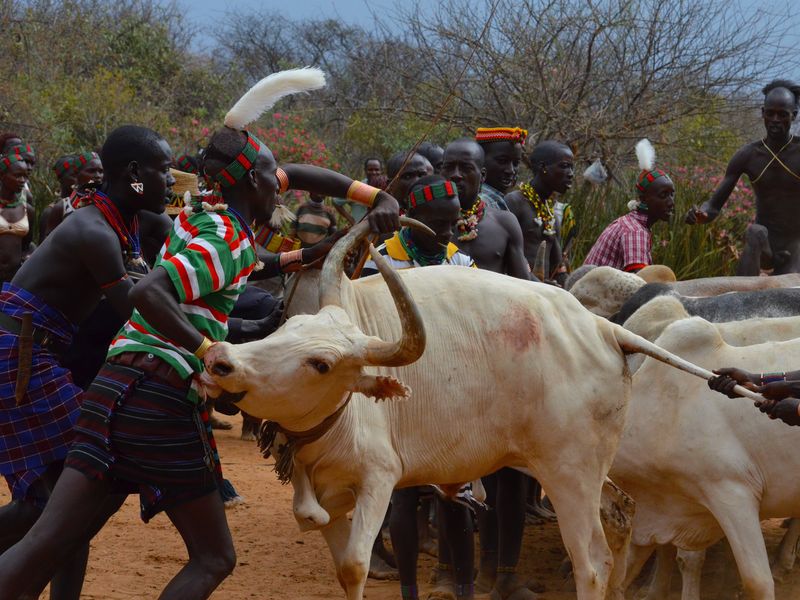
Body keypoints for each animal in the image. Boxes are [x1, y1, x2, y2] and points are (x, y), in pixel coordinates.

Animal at [200, 220, 738, 600]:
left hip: (569, 475)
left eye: (321, 363)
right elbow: (336, 560)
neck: (341, 415)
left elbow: (354, 566)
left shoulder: (379, 478)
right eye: (291, 328)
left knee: (593, 563)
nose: (220, 360)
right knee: (622, 515)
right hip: (569, 468)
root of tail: (604, 329)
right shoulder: (329, 500)